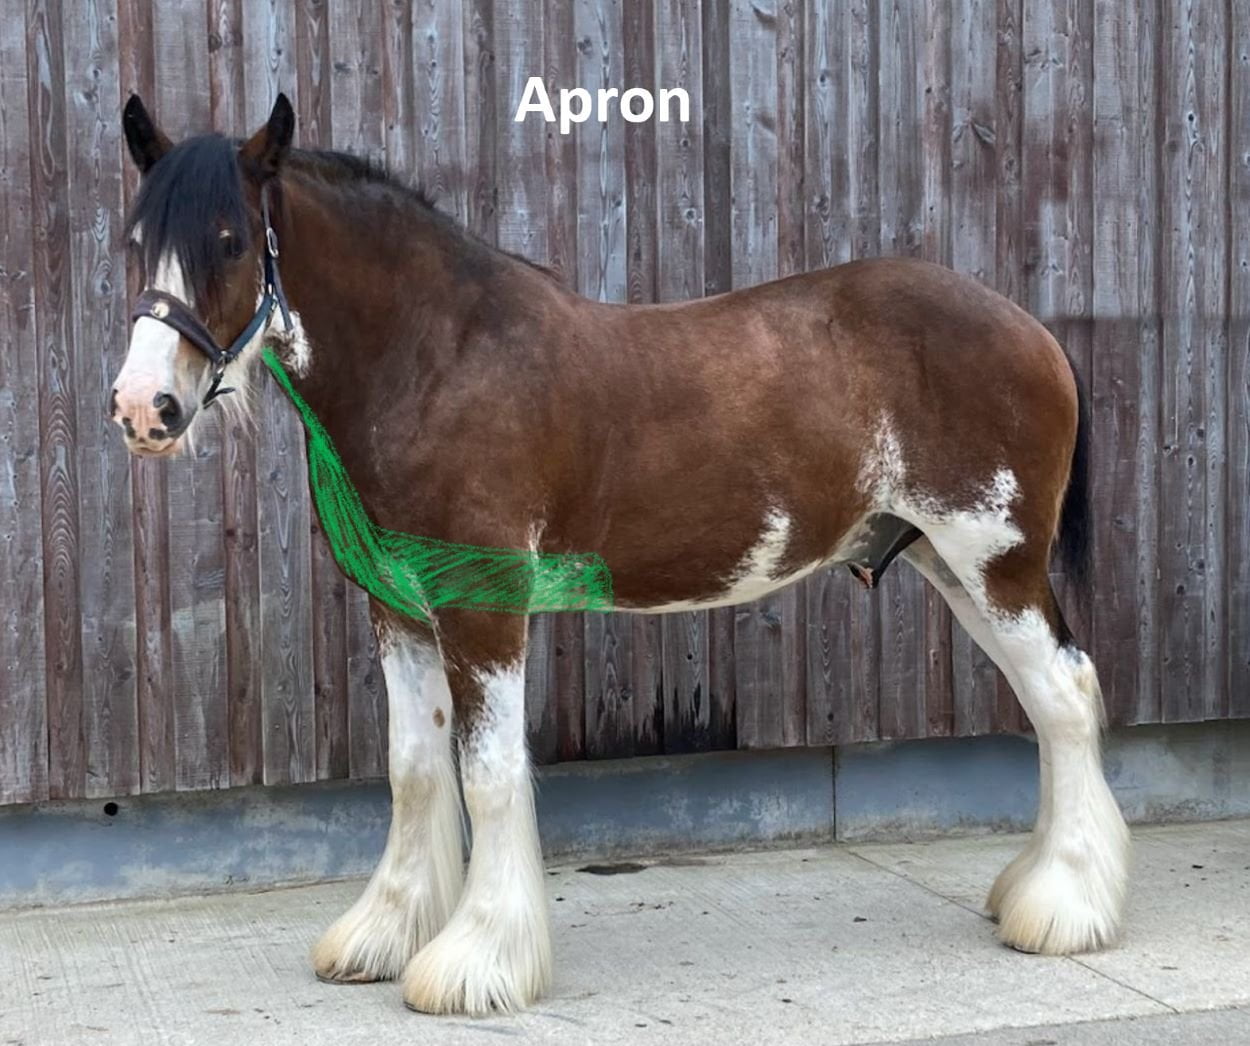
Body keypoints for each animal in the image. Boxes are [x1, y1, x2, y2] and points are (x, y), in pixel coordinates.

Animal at [110, 94, 1130, 1016]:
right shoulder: (398, 610)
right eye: (133, 240)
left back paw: (1067, 911)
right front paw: (382, 937)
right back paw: (1036, 892)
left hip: (994, 564)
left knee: (1066, 695)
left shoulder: (484, 606)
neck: (439, 362)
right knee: (1049, 701)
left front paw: (477, 963)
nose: (142, 409)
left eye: (230, 240)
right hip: (953, 569)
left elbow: (488, 773)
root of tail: (1030, 328)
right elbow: (414, 770)